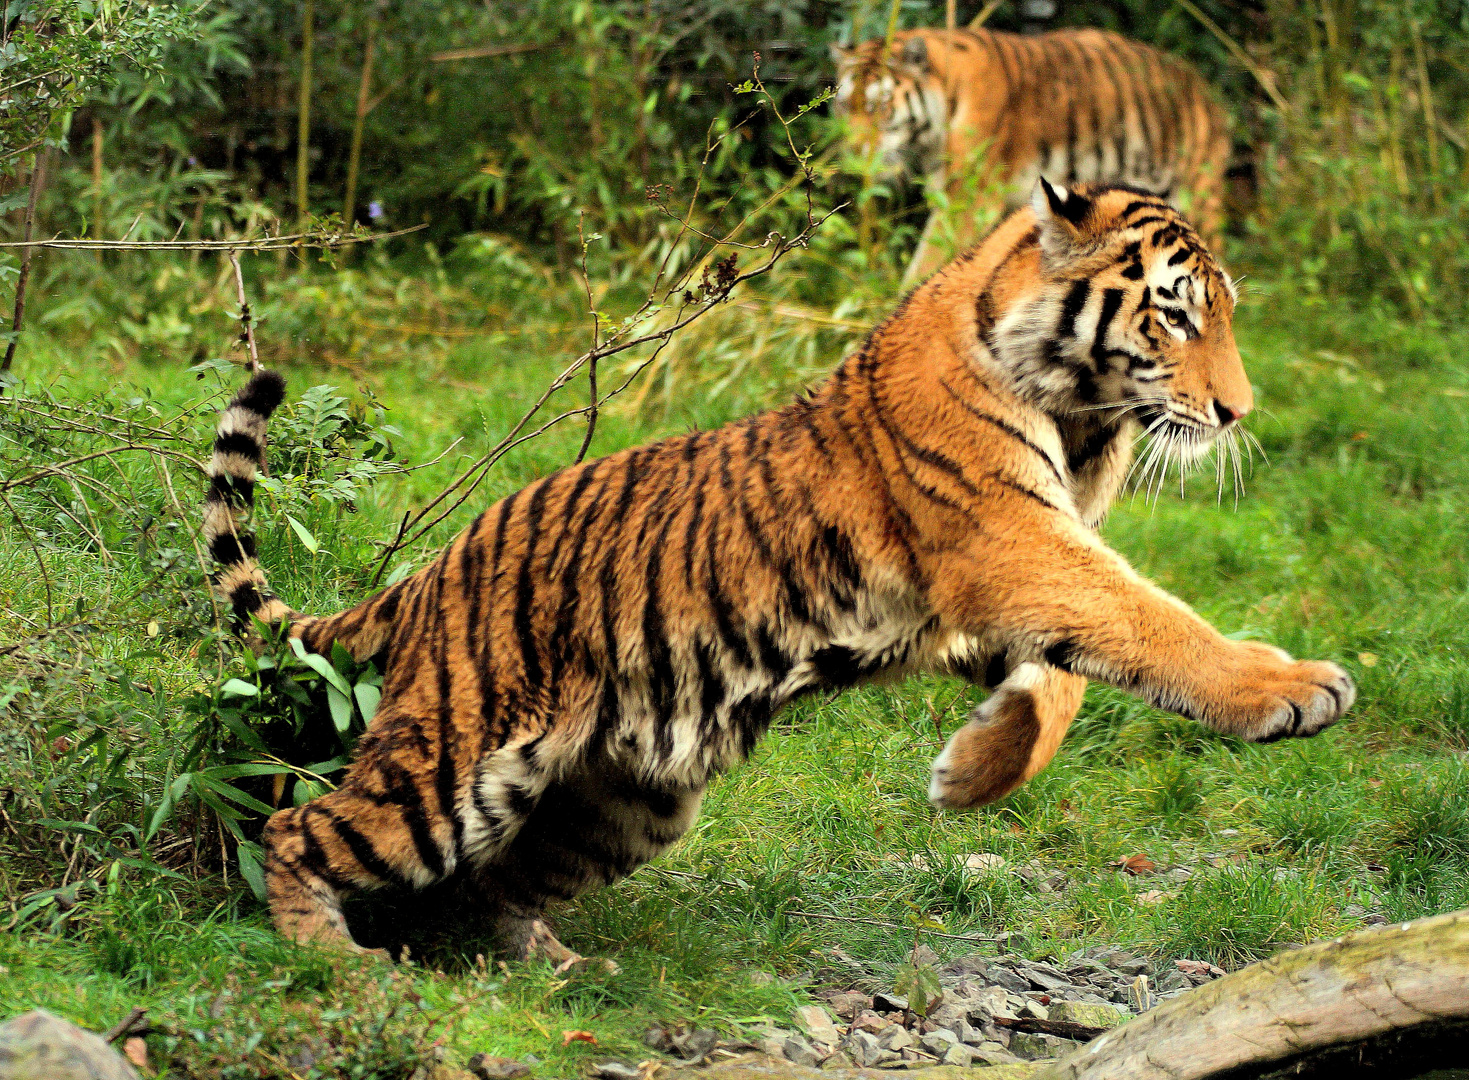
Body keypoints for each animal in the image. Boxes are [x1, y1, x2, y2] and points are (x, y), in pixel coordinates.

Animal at [202, 180, 1353, 964]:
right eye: (1174, 313)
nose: (1237, 413)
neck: (1082, 417)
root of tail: (432, 571)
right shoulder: (1015, 546)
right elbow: (1152, 621)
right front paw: (1291, 688)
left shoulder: (1007, 583)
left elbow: (1067, 681)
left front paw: (972, 771)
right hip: (450, 767)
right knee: (298, 825)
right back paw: (337, 963)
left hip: (630, 802)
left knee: (488, 886)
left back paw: (548, 966)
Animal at [831, 27, 1231, 283]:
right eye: (843, 105)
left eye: (878, 107)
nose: (852, 153)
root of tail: (1205, 89)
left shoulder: (968, 199)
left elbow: (925, 263)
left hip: (1197, 197)